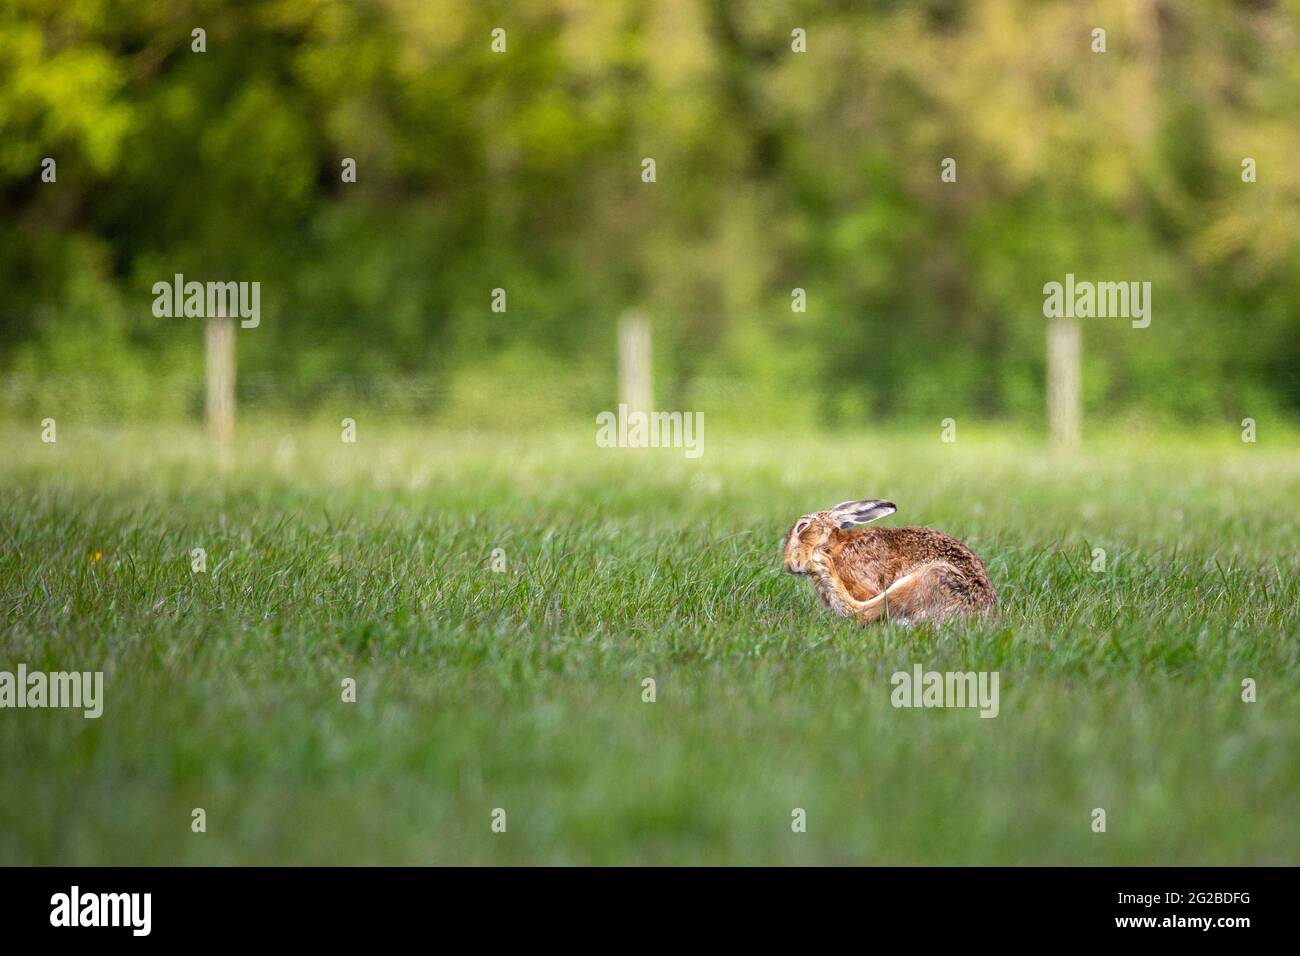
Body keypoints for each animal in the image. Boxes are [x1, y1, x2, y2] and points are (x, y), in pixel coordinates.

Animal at [783, 499, 996, 624]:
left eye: (802, 527)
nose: (788, 565)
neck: (834, 546)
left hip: (930, 577)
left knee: (861, 612)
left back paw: (823, 564)